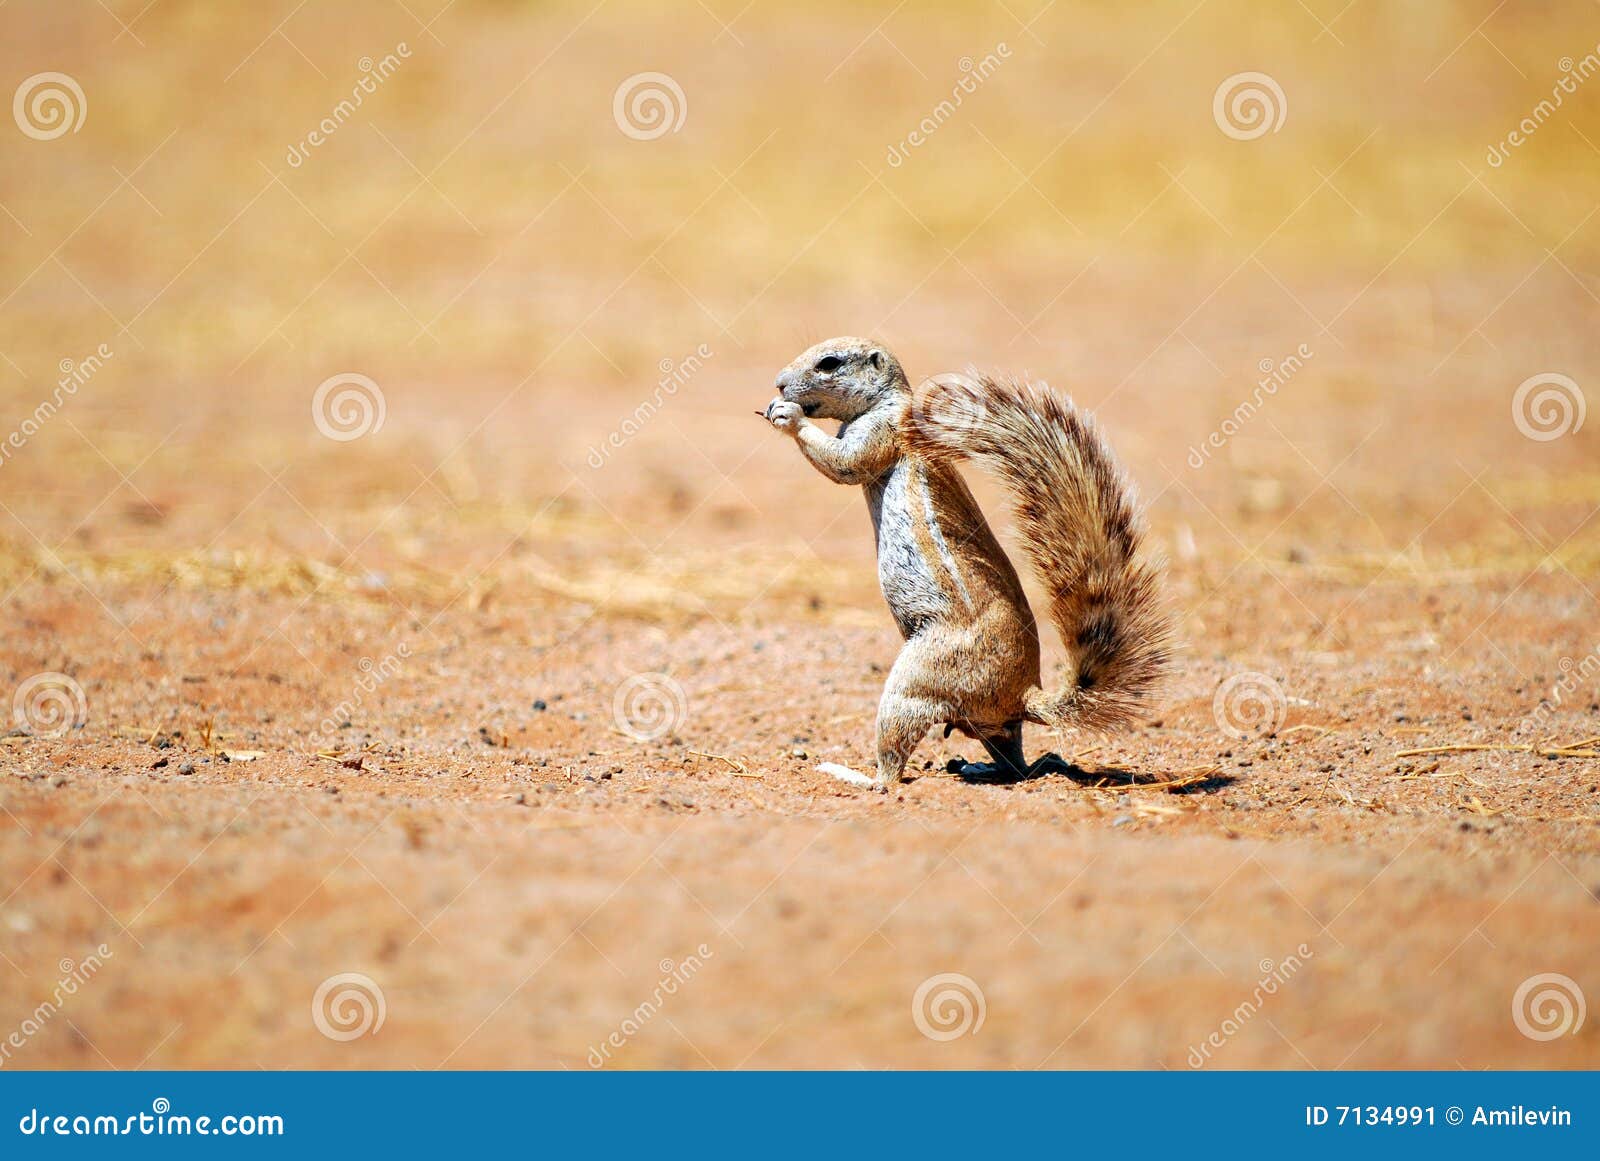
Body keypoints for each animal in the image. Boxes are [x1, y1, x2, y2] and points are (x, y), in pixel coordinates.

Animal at [762, 336, 1171, 789]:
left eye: (829, 363)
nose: (779, 384)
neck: (890, 402)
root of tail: (1024, 694)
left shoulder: (880, 433)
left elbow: (843, 462)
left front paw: (788, 416)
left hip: (913, 683)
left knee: (892, 770)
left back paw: (853, 775)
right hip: (989, 724)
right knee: (1016, 764)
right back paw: (986, 766)